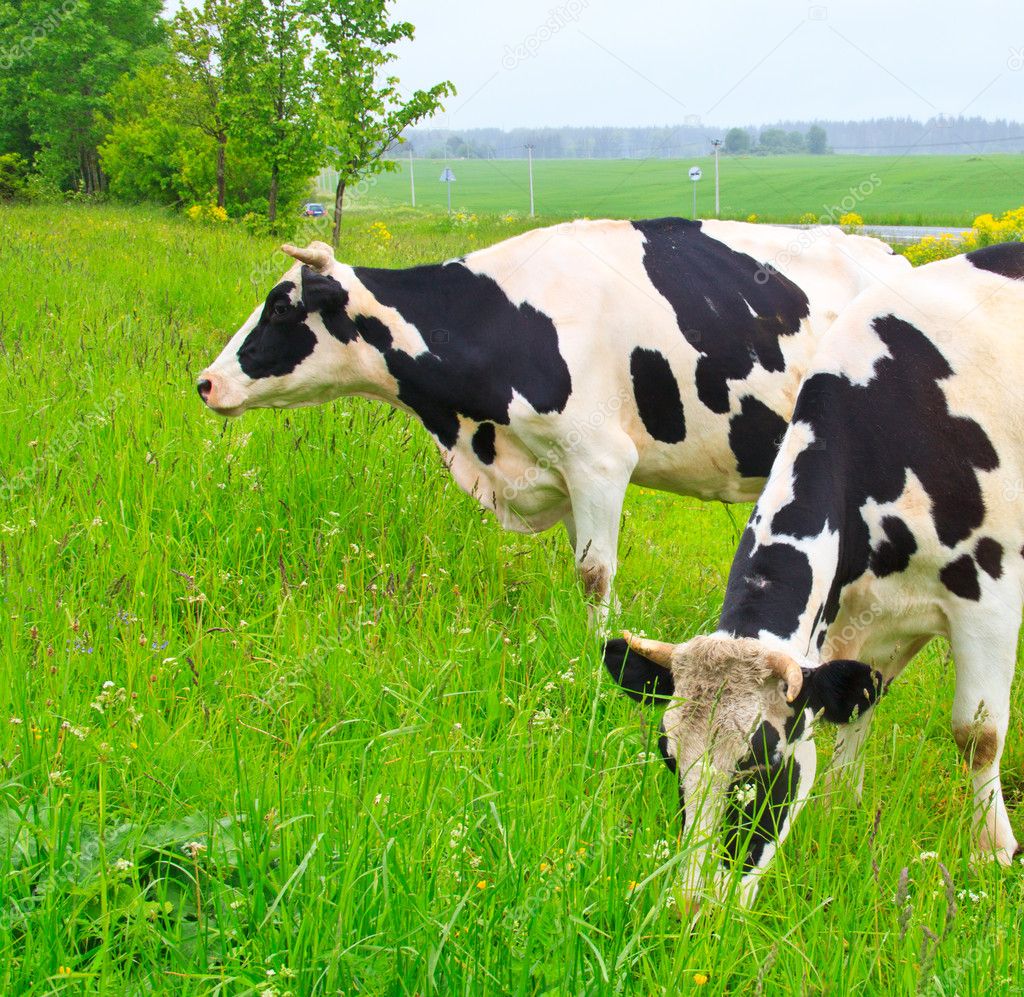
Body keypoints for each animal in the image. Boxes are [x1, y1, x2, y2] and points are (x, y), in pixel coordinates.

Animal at [197, 218, 908, 618]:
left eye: (281, 307)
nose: (206, 383)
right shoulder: (556, 470)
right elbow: (579, 568)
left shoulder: (600, 460)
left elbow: (595, 576)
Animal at [604, 242, 1024, 912]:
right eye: (670, 758)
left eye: (762, 766)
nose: (693, 906)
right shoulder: (863, 618)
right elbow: (857, 704)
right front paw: (839, 812)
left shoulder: (988, 595)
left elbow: (977, 734)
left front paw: (993, 852)